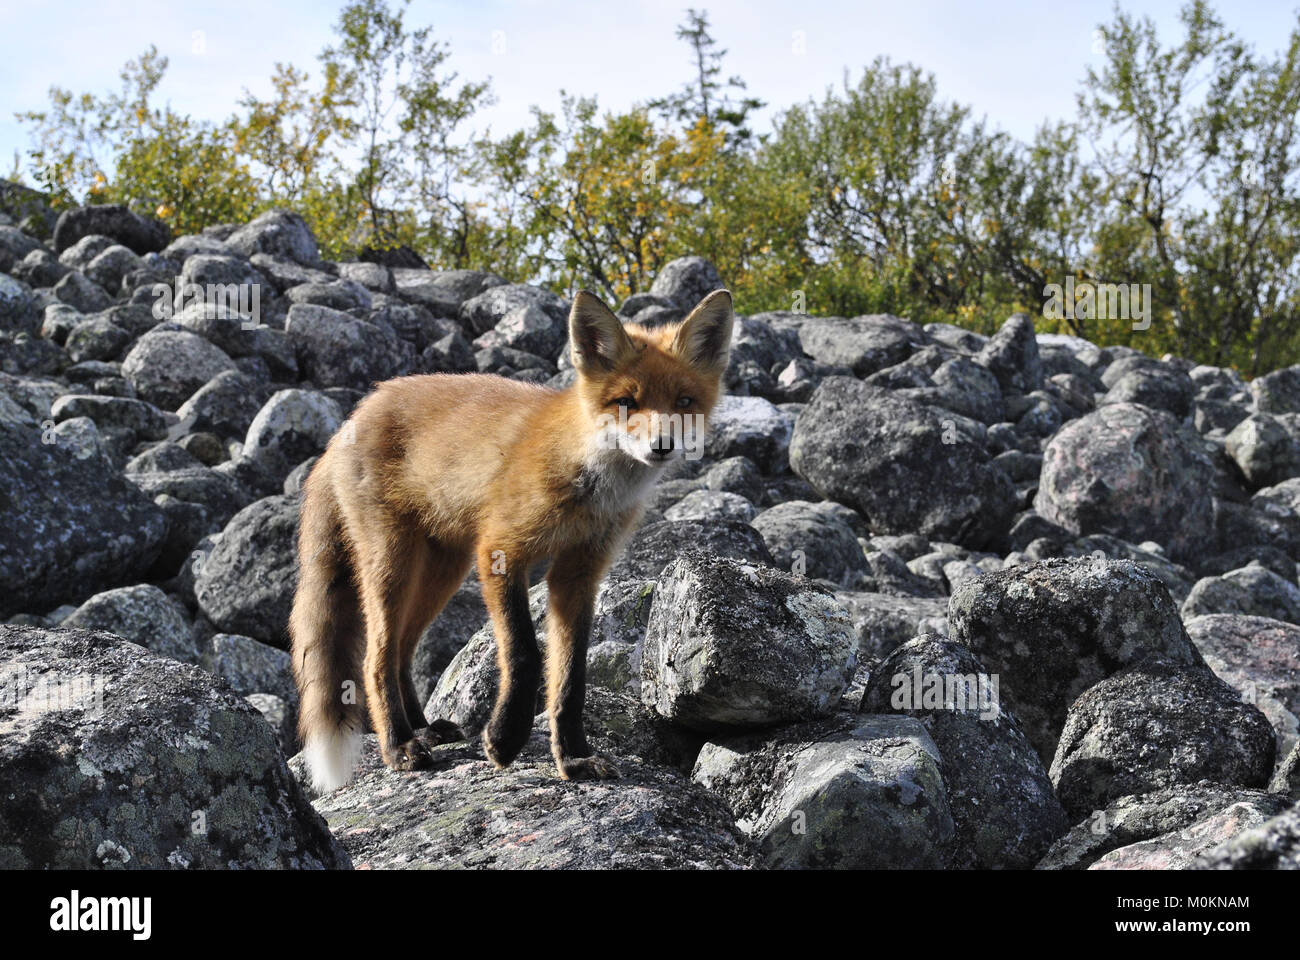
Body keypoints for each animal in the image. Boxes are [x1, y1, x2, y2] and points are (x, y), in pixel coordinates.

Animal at [291, 287, 734, 792]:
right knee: (375, 659)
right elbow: (524, 652)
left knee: (402, 650)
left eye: (684, 400)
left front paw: (575, 758)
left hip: (443, 570)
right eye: (625, 401)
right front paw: (505, 739)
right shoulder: (500, 551)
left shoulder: (580, 571)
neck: (586, 482)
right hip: (393, 562)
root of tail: (354, 415)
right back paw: (399, 745)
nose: (662, 445)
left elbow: (571, 676)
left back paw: (423, 728)